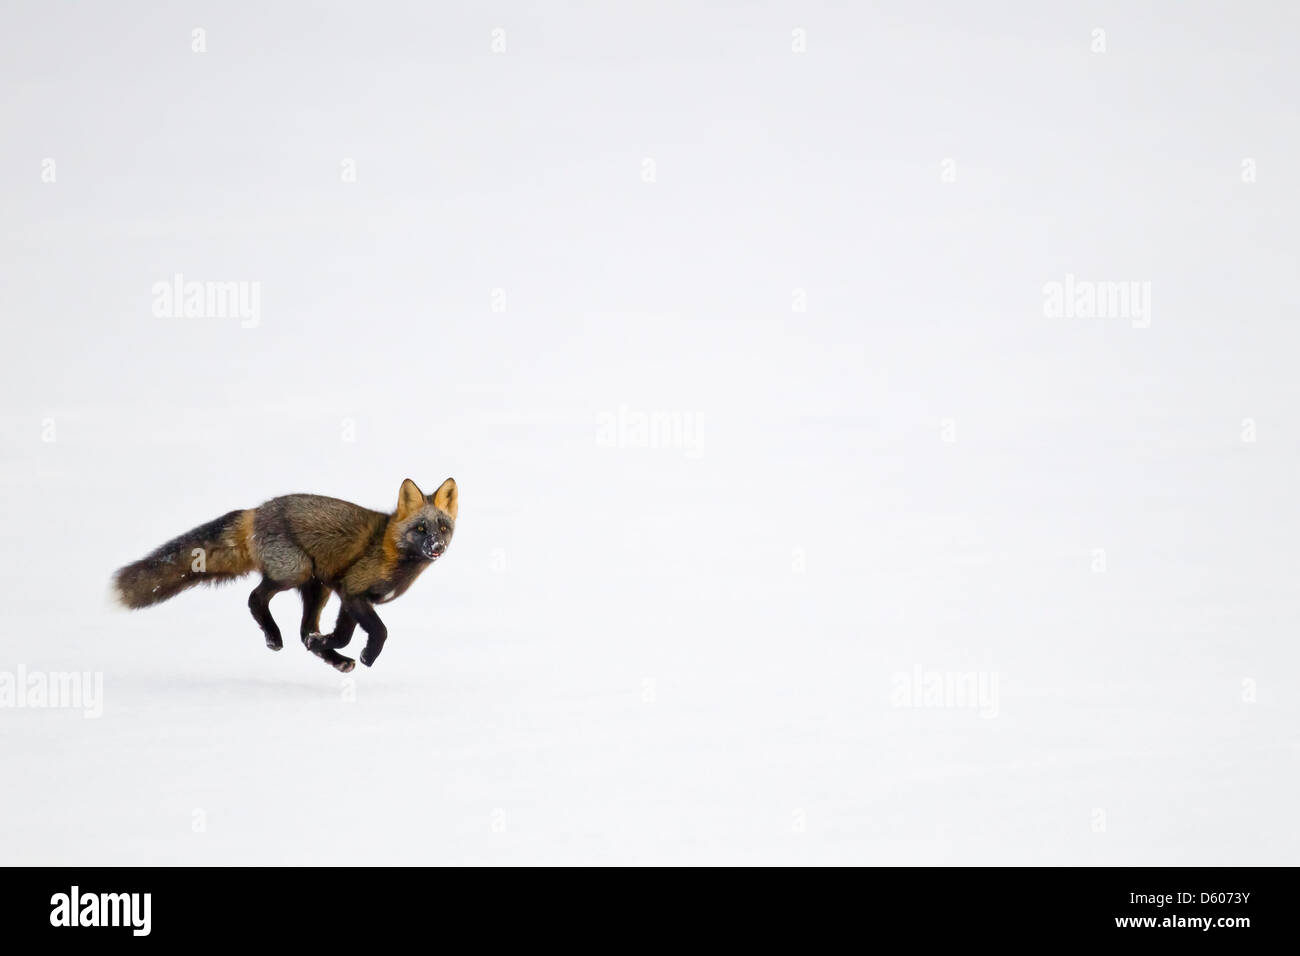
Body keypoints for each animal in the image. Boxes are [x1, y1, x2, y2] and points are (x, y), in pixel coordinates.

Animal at [112, 477, 457, 672]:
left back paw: (333, 658)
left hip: (317, 588)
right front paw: (368, 656)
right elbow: (379, 632)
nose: (436, 547)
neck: (391, 551)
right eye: (420, 529)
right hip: (296, 572)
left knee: (304, 631)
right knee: (255, 598)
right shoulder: (352, 589)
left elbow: (341, 634)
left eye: (442, 527)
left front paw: (327, 645)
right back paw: (273, 636)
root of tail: (255, 511)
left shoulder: (349, 596)